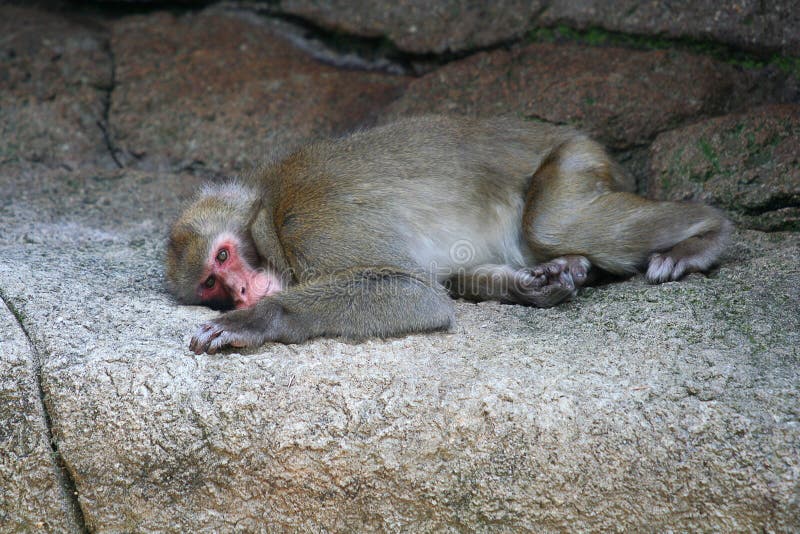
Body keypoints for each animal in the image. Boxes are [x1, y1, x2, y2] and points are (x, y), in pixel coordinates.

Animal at [165, 115, 731, 354]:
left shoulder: (309, 222)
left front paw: (255, 320)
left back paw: (706, 235)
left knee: (553, 224)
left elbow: (413, 291)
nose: (240, 291)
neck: (266, 212)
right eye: (211, 286)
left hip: (576, 162)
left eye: (224, 256)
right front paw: (536, 284)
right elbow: (437, 282)